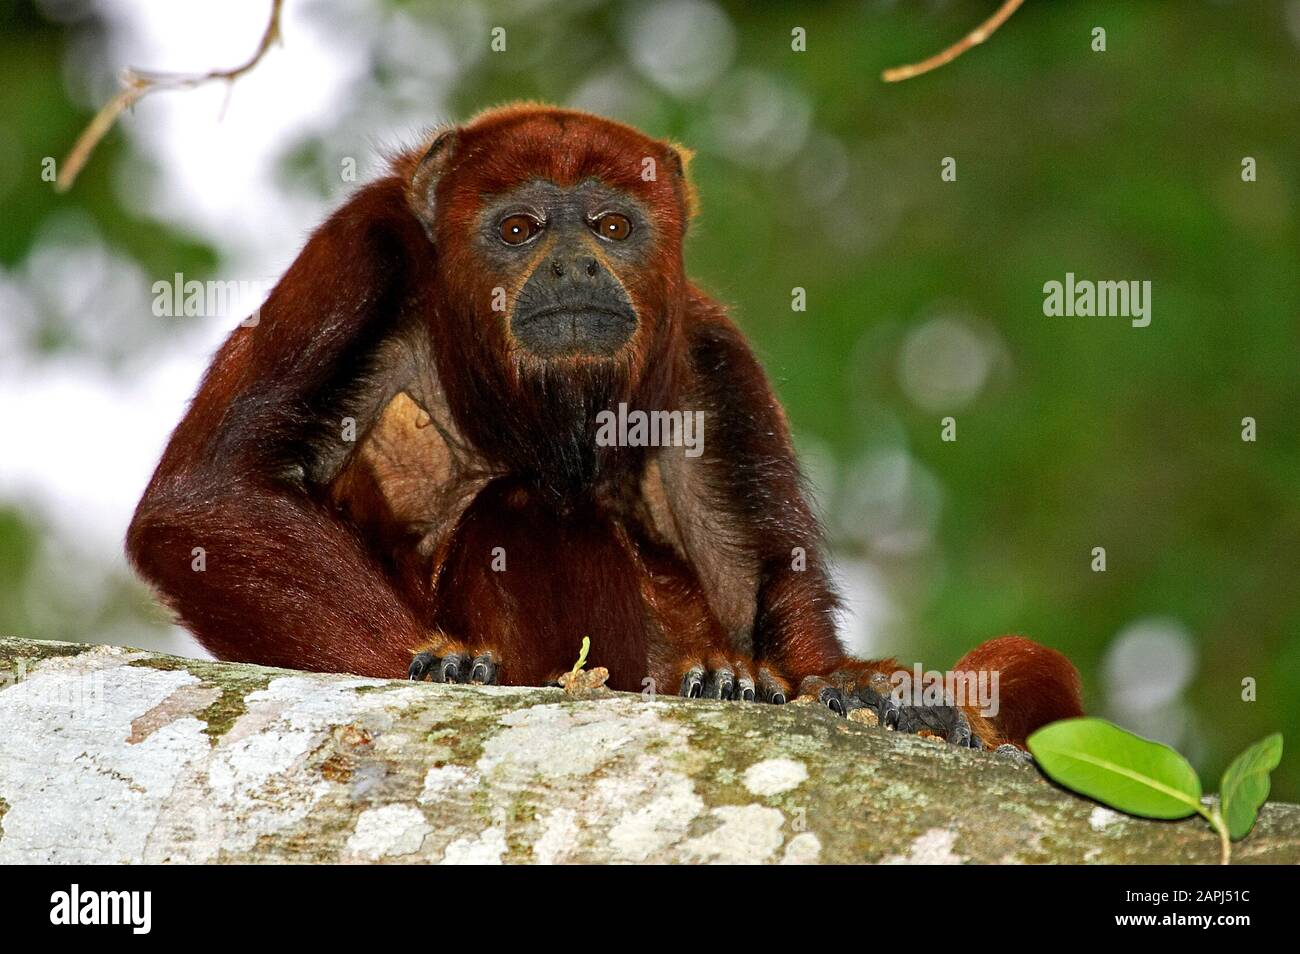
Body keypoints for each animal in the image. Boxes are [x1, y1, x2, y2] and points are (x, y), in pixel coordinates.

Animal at [126, 104, 1082, 750]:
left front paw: (841, 682)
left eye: (613, 225)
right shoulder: (359, 251)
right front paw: (439, 659)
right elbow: (205, 502)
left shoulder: (705, 349)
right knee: (528, 509)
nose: (577, 266)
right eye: (519, 227)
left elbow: (758, 583)